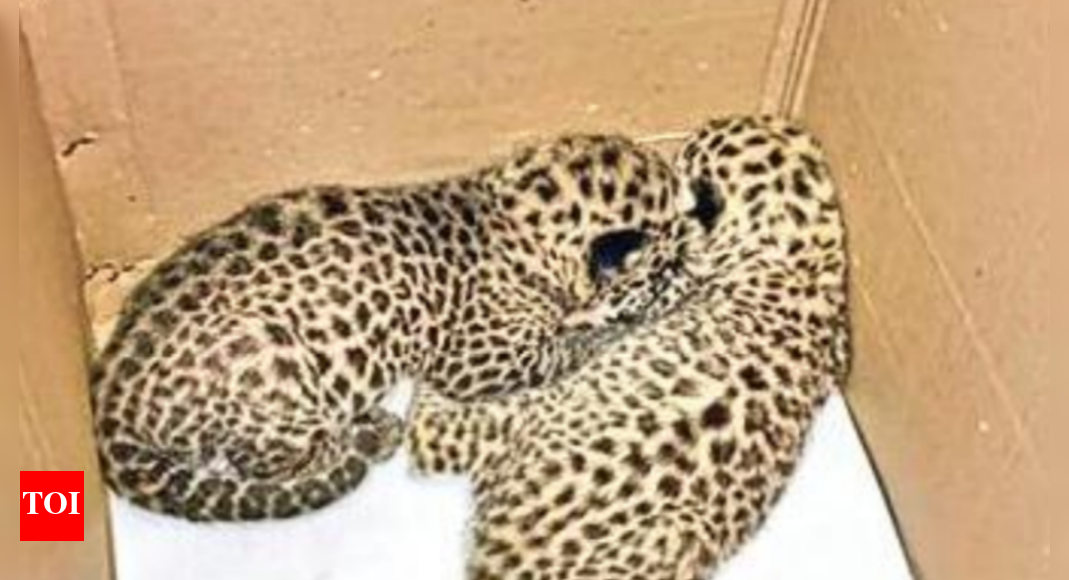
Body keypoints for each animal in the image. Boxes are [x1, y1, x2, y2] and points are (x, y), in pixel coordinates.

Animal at [89, 133, 687, 522]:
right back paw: (369, 432)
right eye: (668, 261)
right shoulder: (476, 361)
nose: (692, 261)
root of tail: (107, 409)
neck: (510, 214)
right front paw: (623, 326)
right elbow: (571, 345)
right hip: (269, 359)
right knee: (263, 463)